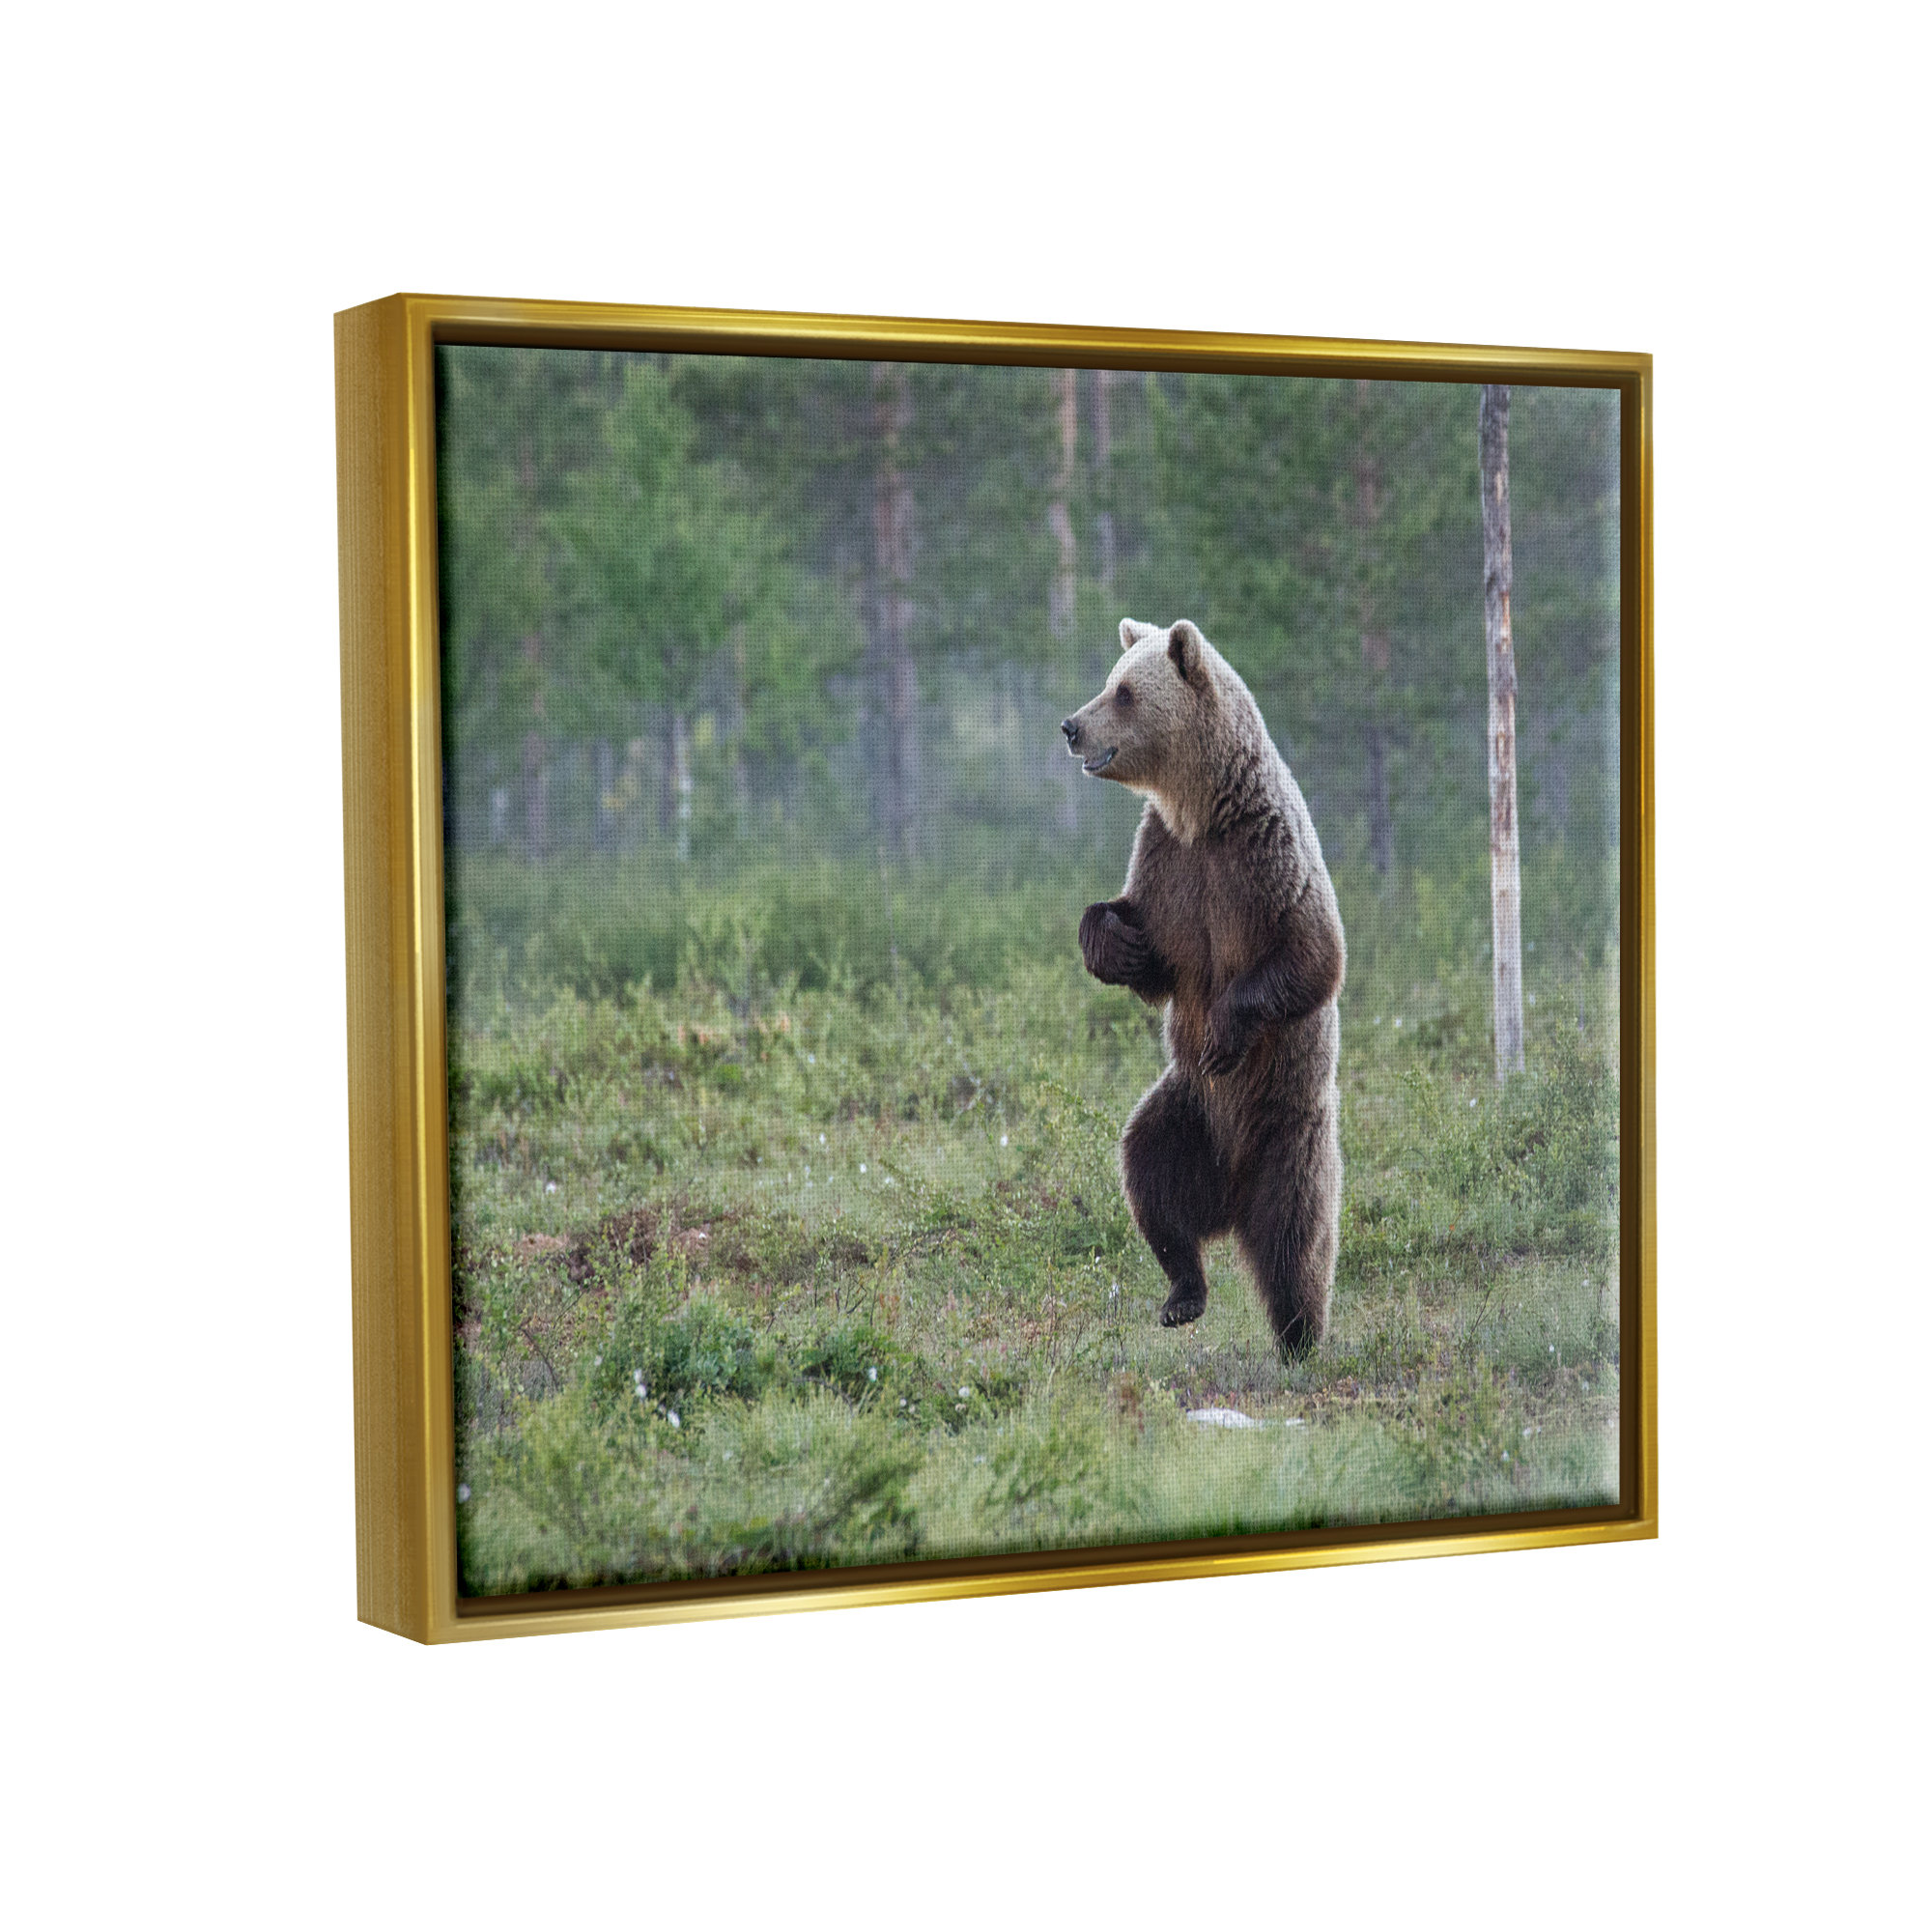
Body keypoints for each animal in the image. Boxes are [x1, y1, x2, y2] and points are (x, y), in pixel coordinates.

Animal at [1061, 618, 1345, 1356]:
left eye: (1124, 692)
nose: (1070, 726)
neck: (1202, 810)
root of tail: (1231, 1200)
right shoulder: (1169, 863)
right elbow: (1155, 953)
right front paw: (1114, 940)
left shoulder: (1263, 857)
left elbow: (1312, 956)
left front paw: (1223, 1029)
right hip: (1185, 1112)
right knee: (1148, 1176)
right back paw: (1182, 1294)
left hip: (1289, 1132)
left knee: (1296, 1241)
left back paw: (1299, 1337)